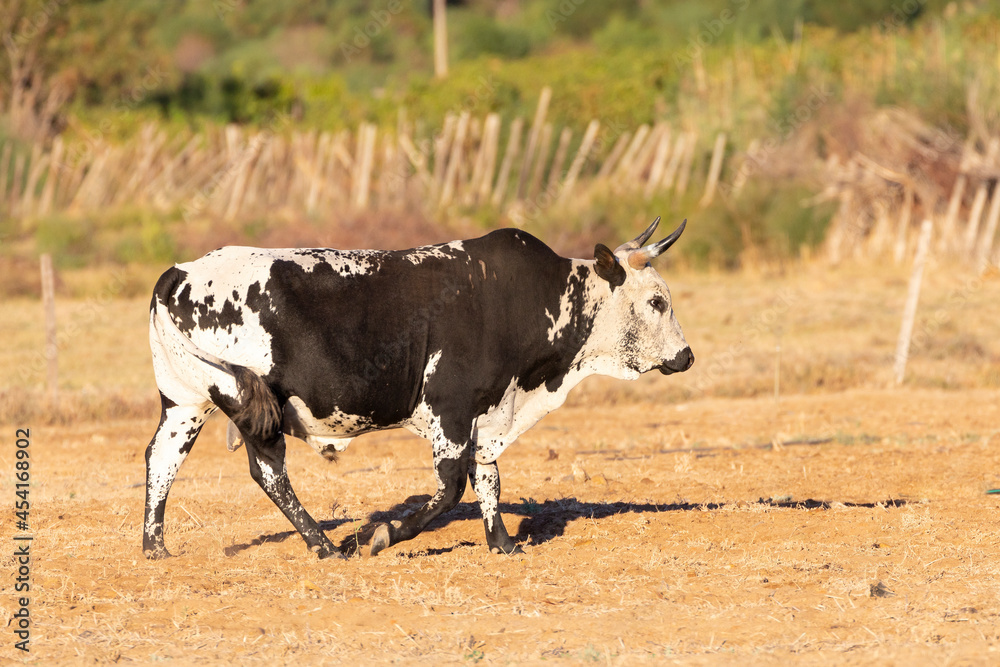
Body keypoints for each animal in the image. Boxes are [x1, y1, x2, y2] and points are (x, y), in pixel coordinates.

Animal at [143, 217, 693, 560]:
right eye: (657, 301)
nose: (686, 356)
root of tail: (179, 272)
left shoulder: (486, 412)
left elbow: (488, 478)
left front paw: (502, 543)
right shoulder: (451, 407)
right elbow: (451, 488)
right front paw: (383, 535)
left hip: (186, 402)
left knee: (161, 460)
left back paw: (155, 548)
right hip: (248, 402)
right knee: (268, 471)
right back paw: (325, 545)